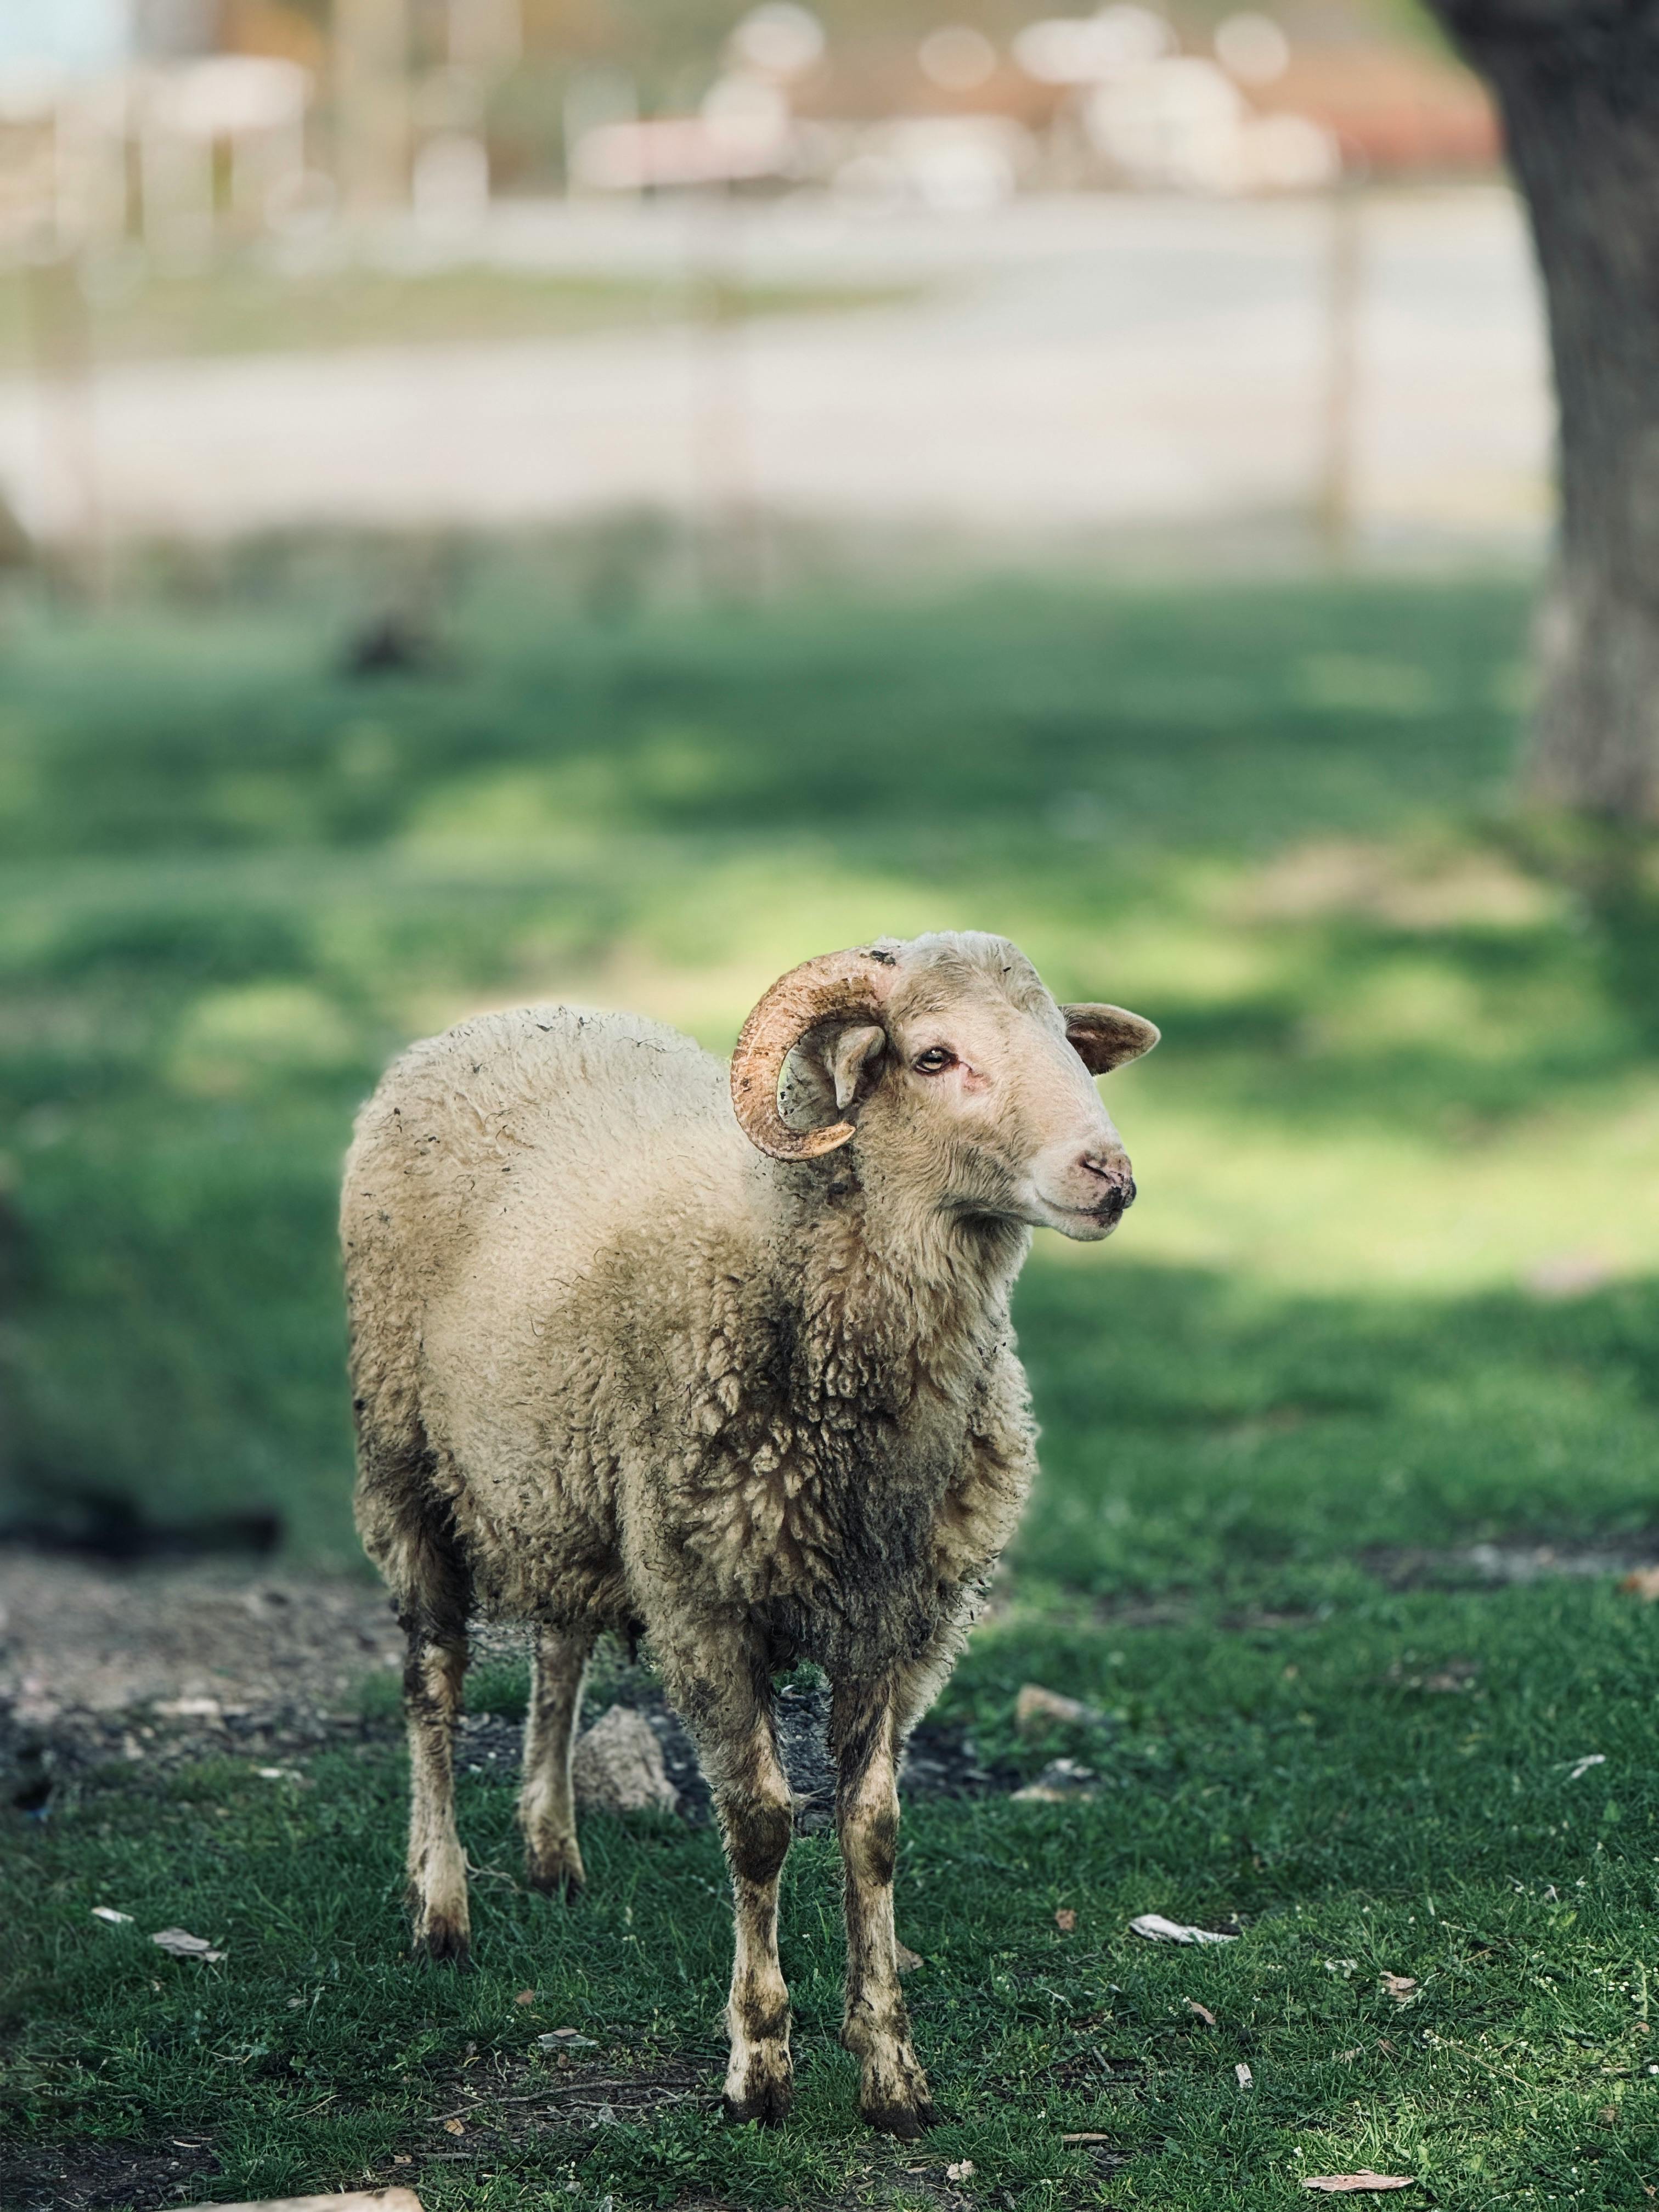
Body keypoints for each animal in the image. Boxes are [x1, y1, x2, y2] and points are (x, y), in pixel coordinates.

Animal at [341, 931, 1158, 2139]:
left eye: (1067, 1042)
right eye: (933, 1055)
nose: (1110, 1178)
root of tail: (499, 1017)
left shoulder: (894, 1619)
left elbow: (872, 1829)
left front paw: (891, 2071)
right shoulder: (704, 1605)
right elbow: (764, 1825)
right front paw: (758, 2065)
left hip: (579, 1488)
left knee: (559, 1653)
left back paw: (551, 1851)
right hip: (405, 1463)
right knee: (432, 1684)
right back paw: (440, 1905)